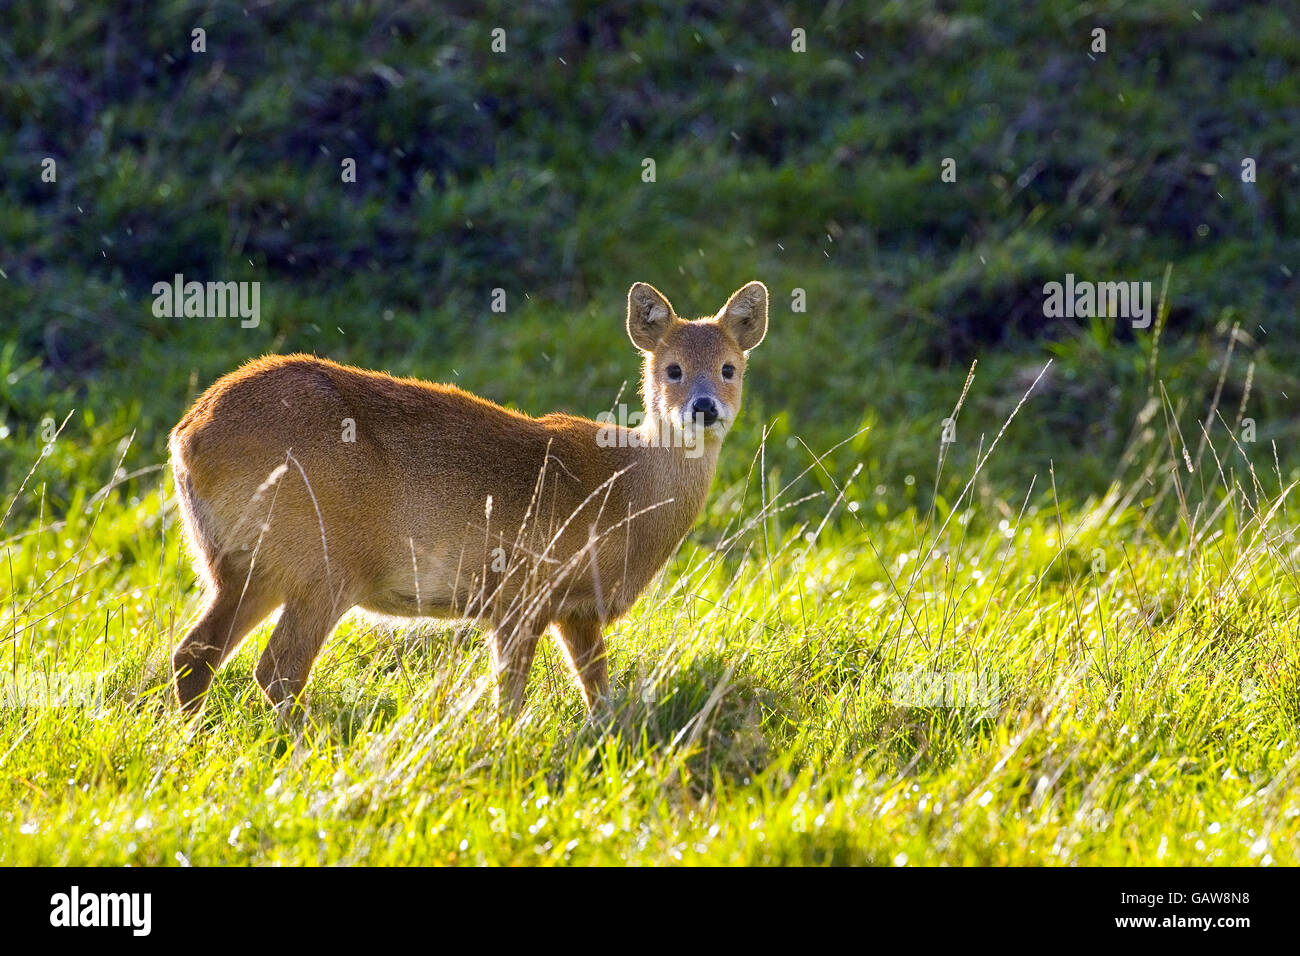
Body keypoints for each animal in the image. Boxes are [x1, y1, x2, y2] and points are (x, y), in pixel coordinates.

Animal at [168, 280, 768, 721]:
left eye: (729, 368)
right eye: (672, 369)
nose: (704, 407)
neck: (623, 490)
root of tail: (187, 438)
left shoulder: (575, 608)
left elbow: (599, 691)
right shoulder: (520, 592)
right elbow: (510, 696)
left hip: (246, 566)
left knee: (194, 653)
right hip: (322, 561)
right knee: (277, 669)